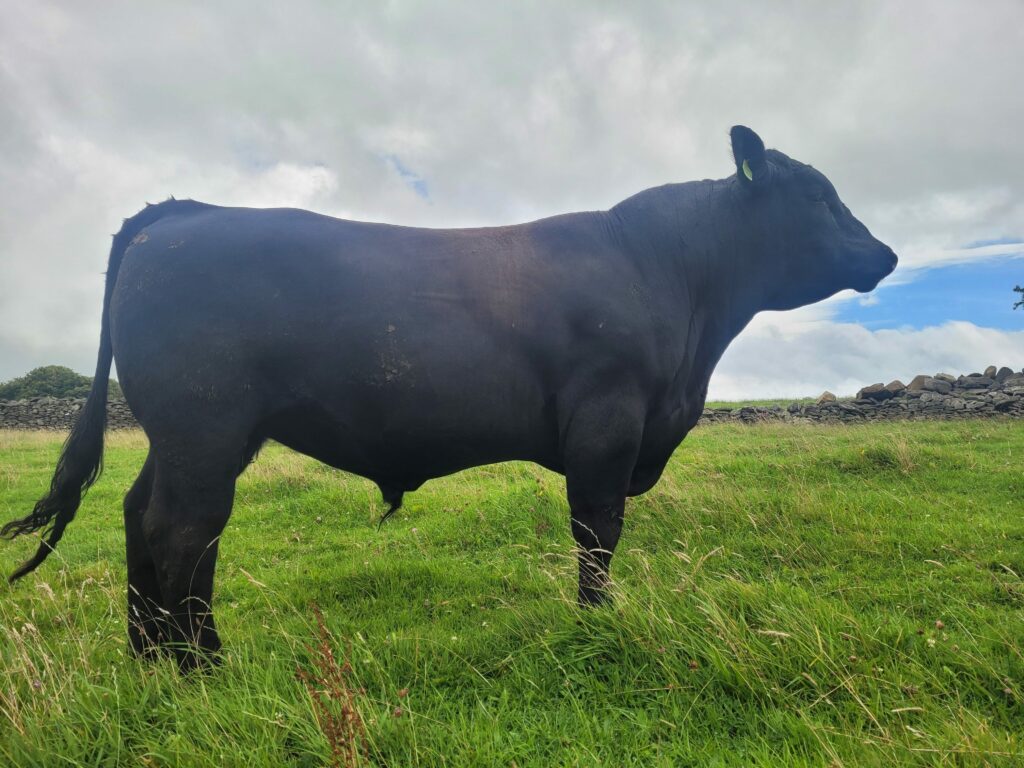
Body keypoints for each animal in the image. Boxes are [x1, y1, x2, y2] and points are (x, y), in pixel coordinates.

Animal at [2, 127, 896, 670]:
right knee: (182, 531)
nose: (885, 253)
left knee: (143, 516)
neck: (679, 281)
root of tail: (184, 212)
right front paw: (597, 623)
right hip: (205, 425)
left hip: (186, 434)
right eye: (817, 196)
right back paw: (202, 667)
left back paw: (151, 657)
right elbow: (597, 532)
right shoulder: (608, 422)